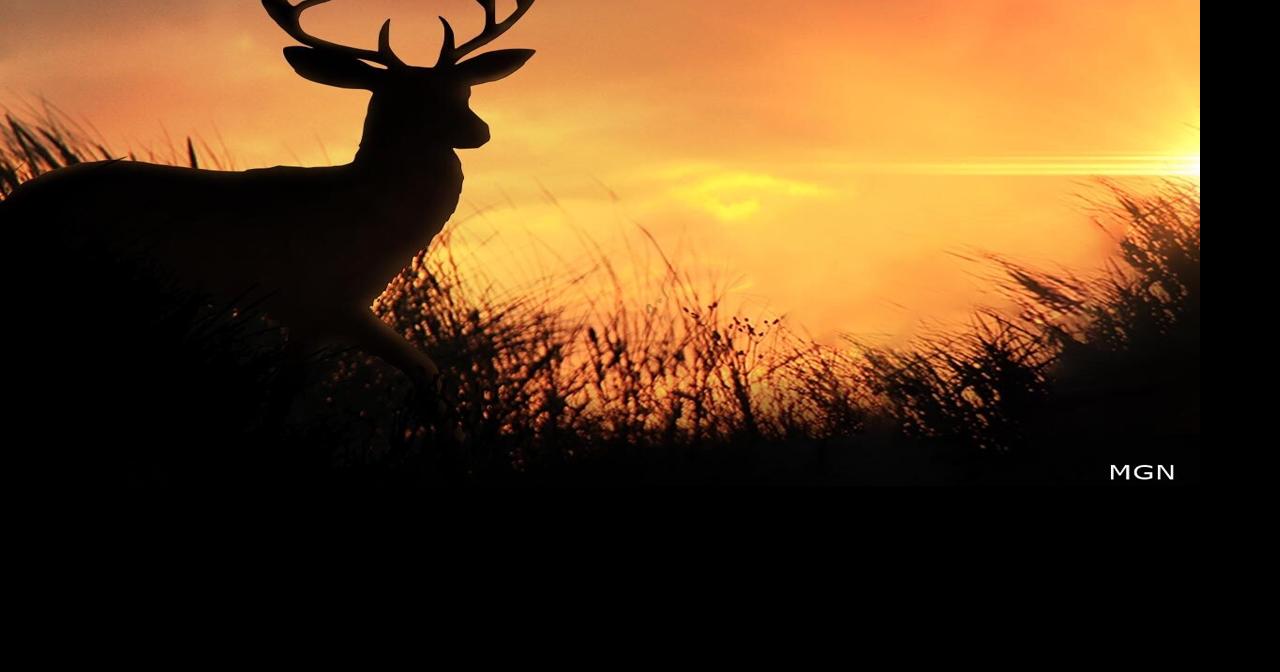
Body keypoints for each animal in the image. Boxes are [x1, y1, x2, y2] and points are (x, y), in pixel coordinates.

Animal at [1, 0, 537, 400]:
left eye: (465, 90)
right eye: (407, 100)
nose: (479, 131)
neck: (363, 211)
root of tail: (14, 204)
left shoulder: (317, 315)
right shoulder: (326, 300)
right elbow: (422, 374)